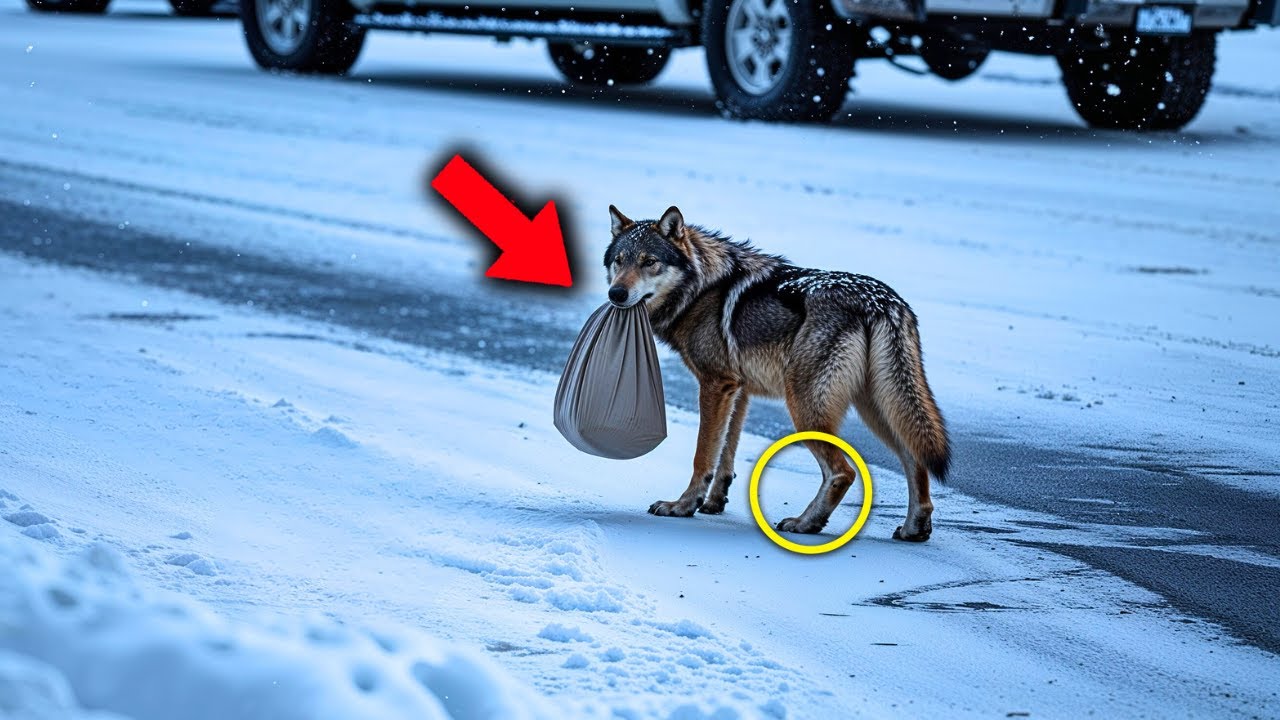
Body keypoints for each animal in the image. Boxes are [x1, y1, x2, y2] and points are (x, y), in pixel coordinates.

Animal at [604, 205, 950, 541]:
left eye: (649, 262)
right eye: (619, 261)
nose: (615, 293)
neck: (701, 288)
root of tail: (882, 304)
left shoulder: (715, 384)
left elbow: (703, 454)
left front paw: (683, 505)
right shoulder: (738, 390)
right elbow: (726, 453)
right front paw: (714, 502)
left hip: (806, 409)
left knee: (844, 472)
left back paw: (806, 523)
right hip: (877, 409)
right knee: (915, 459)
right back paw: (914, 529)